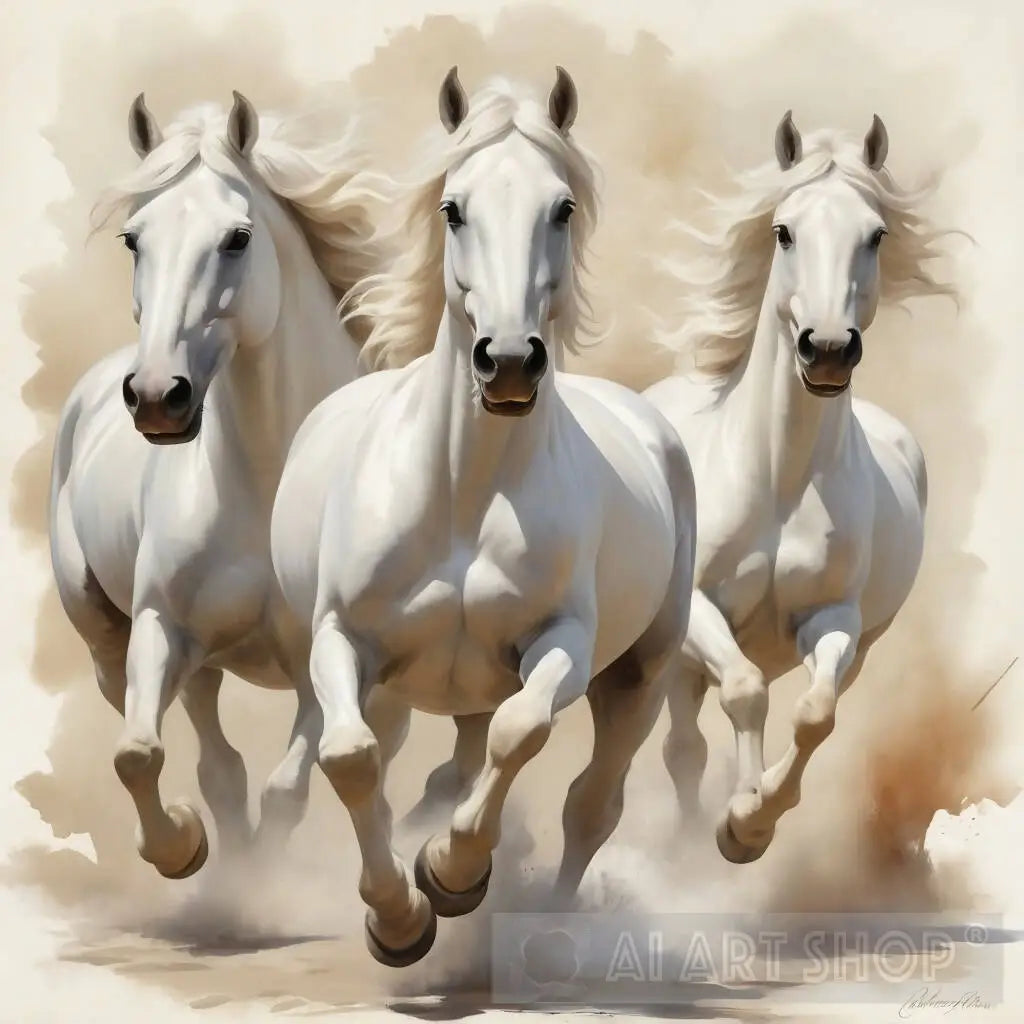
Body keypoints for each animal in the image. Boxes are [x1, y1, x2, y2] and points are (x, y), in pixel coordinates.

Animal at [47, 90, 387, 879]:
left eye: (237, 238)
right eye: (132, 239)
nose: (155, 397)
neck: (266, 486)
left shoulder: (326, 660)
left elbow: (289, 787)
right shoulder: (159, 630)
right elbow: (139, 756)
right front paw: (182, 847)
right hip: (110, 639)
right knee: (202, 749)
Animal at [270, 66, 697, 967]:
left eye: (561, 207)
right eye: (453, 208)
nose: (506, 362)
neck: (464, 496)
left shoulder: (562, 643)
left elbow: (518, 731)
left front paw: (449, 875)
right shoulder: (342, 641)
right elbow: (350, 757)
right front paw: (397, 920)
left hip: (641, 674)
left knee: (590, 804)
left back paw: (548, 926)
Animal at [648, 111, 956, 863]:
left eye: (875, 234)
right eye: (783, 231)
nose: (827, 350)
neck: (779, 479)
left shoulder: (833, 620)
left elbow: (816, 715)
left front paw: (751, 822)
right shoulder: (699, 610)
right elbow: (744, 691)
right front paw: (735, 822)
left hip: (865, 643)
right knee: (684, 743)